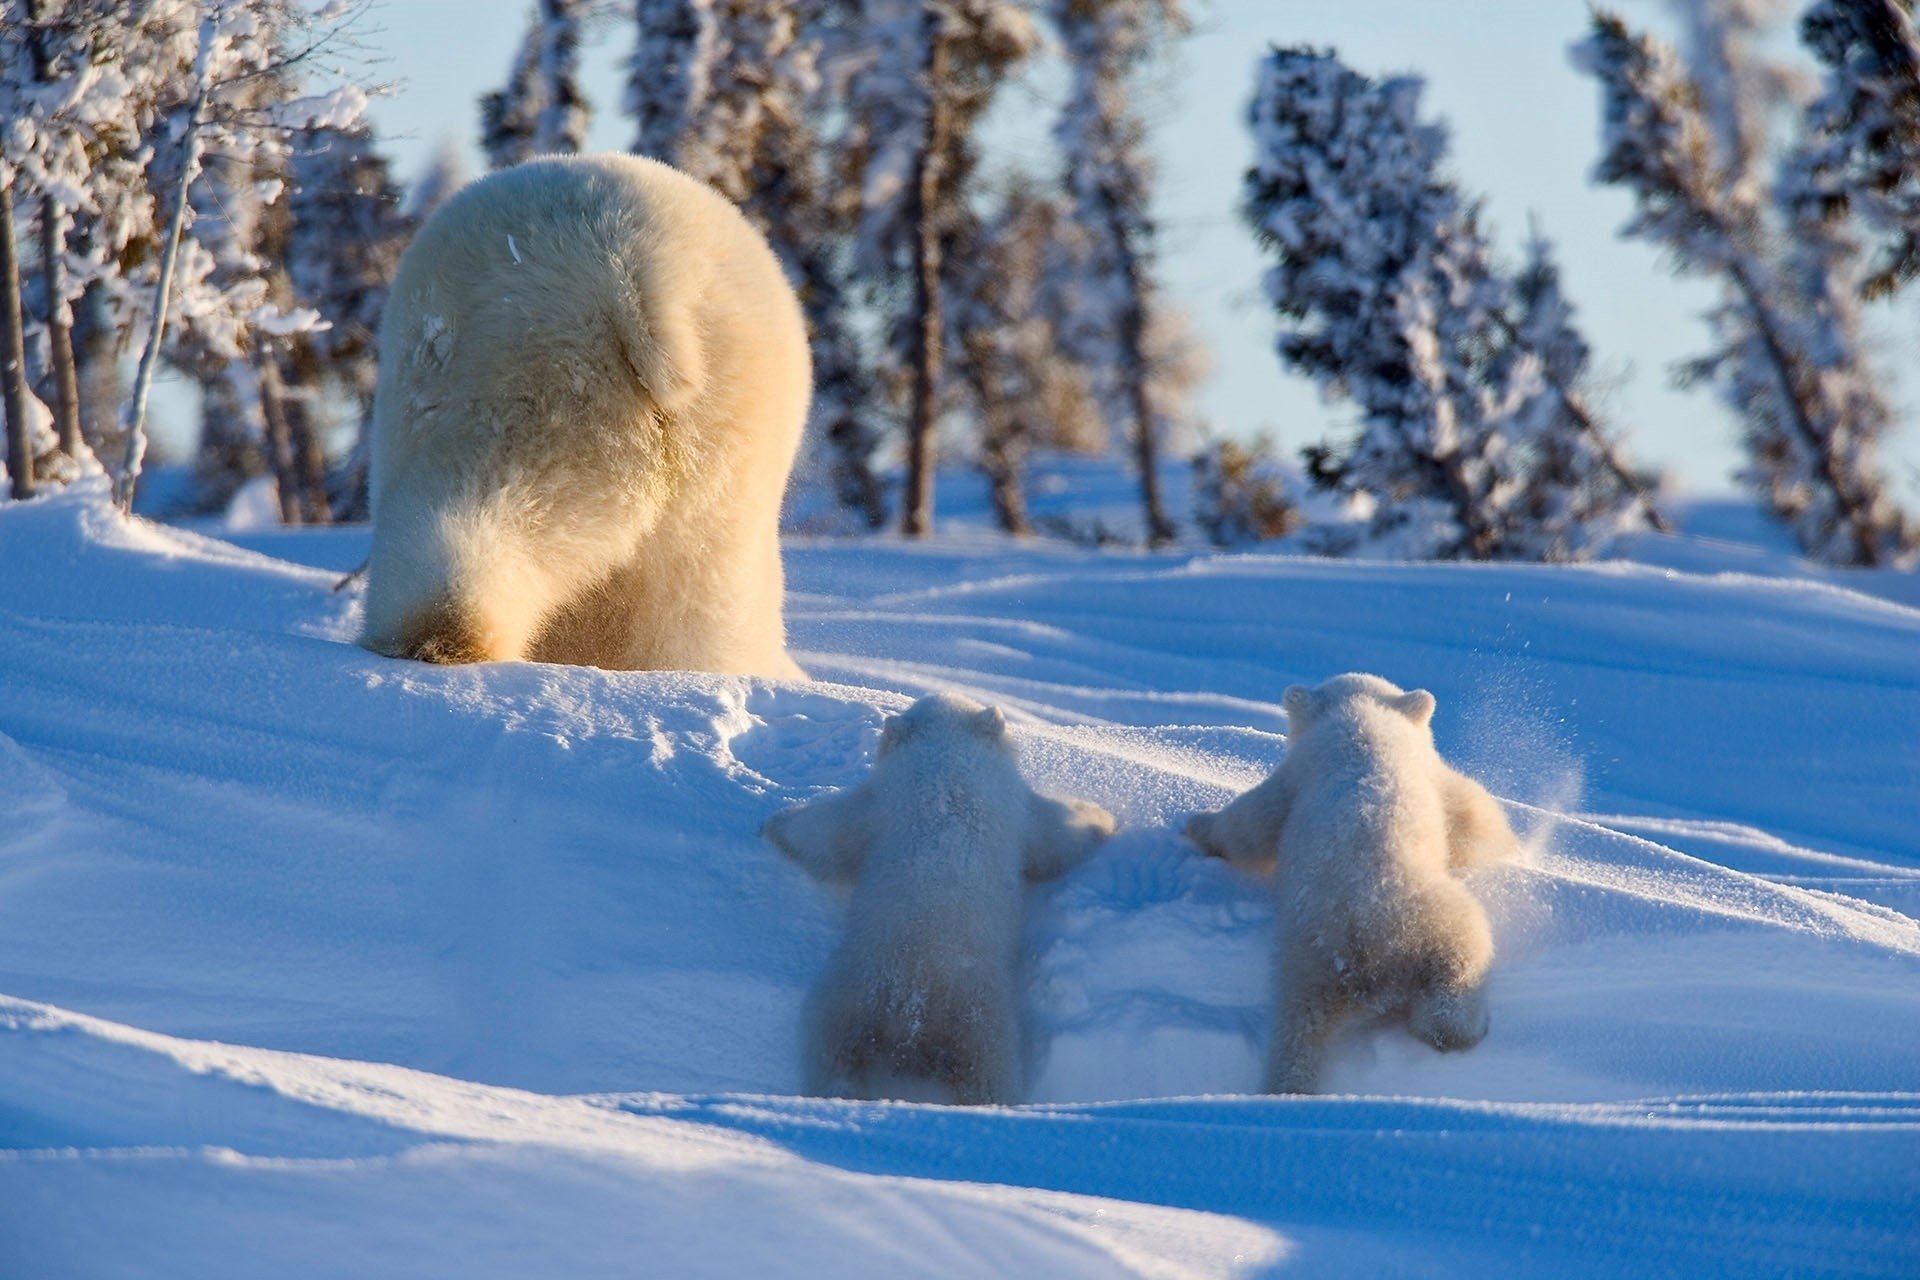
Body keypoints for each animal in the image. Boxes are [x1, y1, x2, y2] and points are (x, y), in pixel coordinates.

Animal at [359, 153, 810, 678]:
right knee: (700, 595)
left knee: (483, 500)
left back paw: (434, 639)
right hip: (724, 426)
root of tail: (641, 274)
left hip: (534, 377)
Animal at [761, 693, 1117, 1105]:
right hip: (897, 1004)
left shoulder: (999, 806)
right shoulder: (889, 803)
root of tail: (912, 1012)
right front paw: (773, 825)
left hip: (930, 1009)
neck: (946, 773)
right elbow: (828, 831)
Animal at [1184, 673, 1518, 1094]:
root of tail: (1366, 958)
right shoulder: (1301, 773)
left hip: (1307, 959)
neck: (1361, 721)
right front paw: (1196, 824)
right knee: (1464, 955)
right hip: (1422, 919)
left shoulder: (1301, 774)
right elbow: (1252, 822)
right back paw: (1456, 1030)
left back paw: (1289, 1085)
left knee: (1300, 1025)